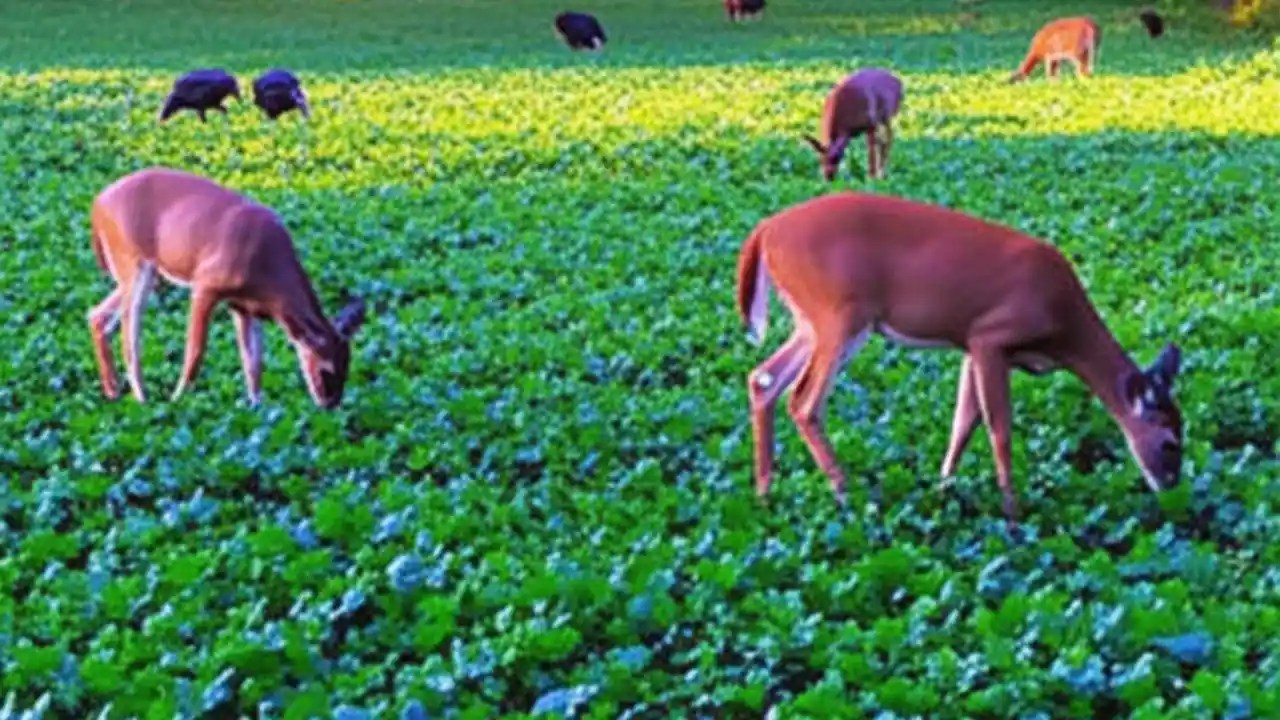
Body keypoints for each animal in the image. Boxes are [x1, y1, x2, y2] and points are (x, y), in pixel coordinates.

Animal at [87, 167, 367, 409]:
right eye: (325, 368)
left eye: (347, 363)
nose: (330, 404)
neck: (269, 269)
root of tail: (97, 205)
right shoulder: (205, 284)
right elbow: (195, 353)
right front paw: (178, 400)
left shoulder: (244, 307)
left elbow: (254, 362)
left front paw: (257, 407)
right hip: (133, 263)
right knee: (129, 333)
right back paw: (142, 399)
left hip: (150, 274)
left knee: (97, 315)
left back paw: (112, 391)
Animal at [735, 192, 1184, 525]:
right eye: (1169, 443)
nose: (1171, 486)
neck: (1064, 328)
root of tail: (765, 231)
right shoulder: (990, 336)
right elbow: (999, 427)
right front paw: (1012, 513)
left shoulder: (970, 345)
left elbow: (963, 422)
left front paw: (943, 491)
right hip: (839, 314)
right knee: (803, 401)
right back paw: (846, 494)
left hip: (809, 321)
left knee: (763, 378)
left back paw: (764, 493)